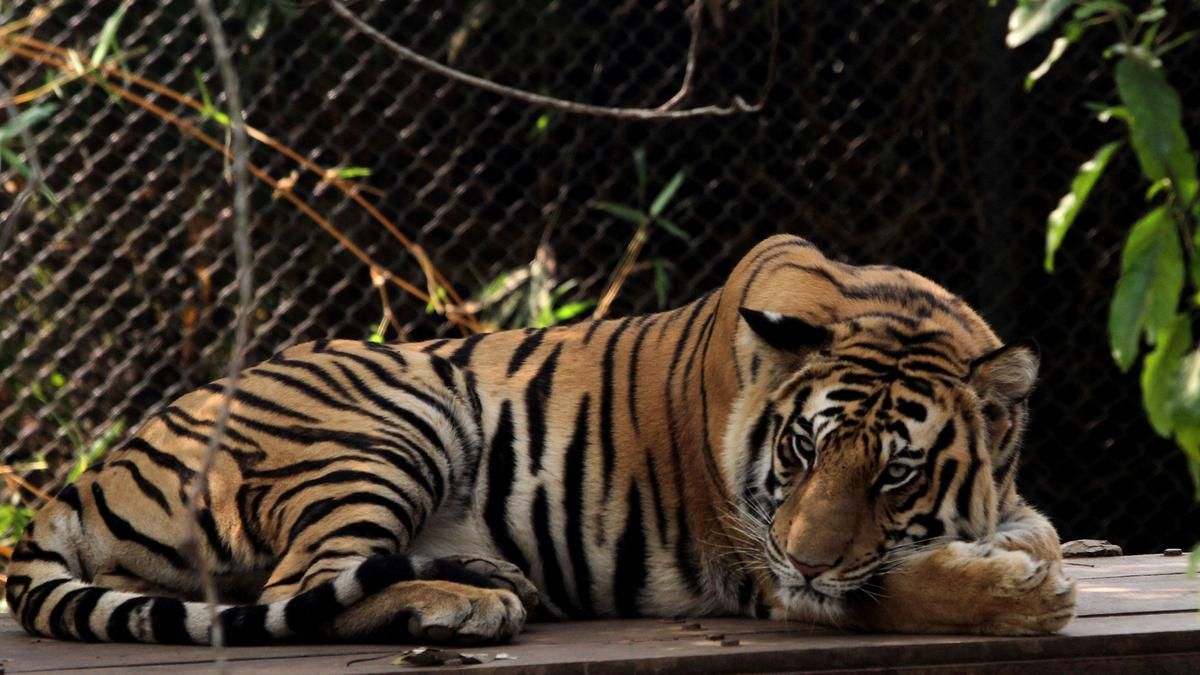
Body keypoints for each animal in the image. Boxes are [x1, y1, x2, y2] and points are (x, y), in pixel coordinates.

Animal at [4, 234, 1076, 645]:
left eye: (896, 475)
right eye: (803, 454)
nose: (810, 557)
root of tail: (82, 482)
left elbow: (1026, 524)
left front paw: (1024, 548)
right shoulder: (768, 565)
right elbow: (894, 586)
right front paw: (1026, 594)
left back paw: (485, 579)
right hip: (392, 417)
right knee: (290, 592)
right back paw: (463, 603)